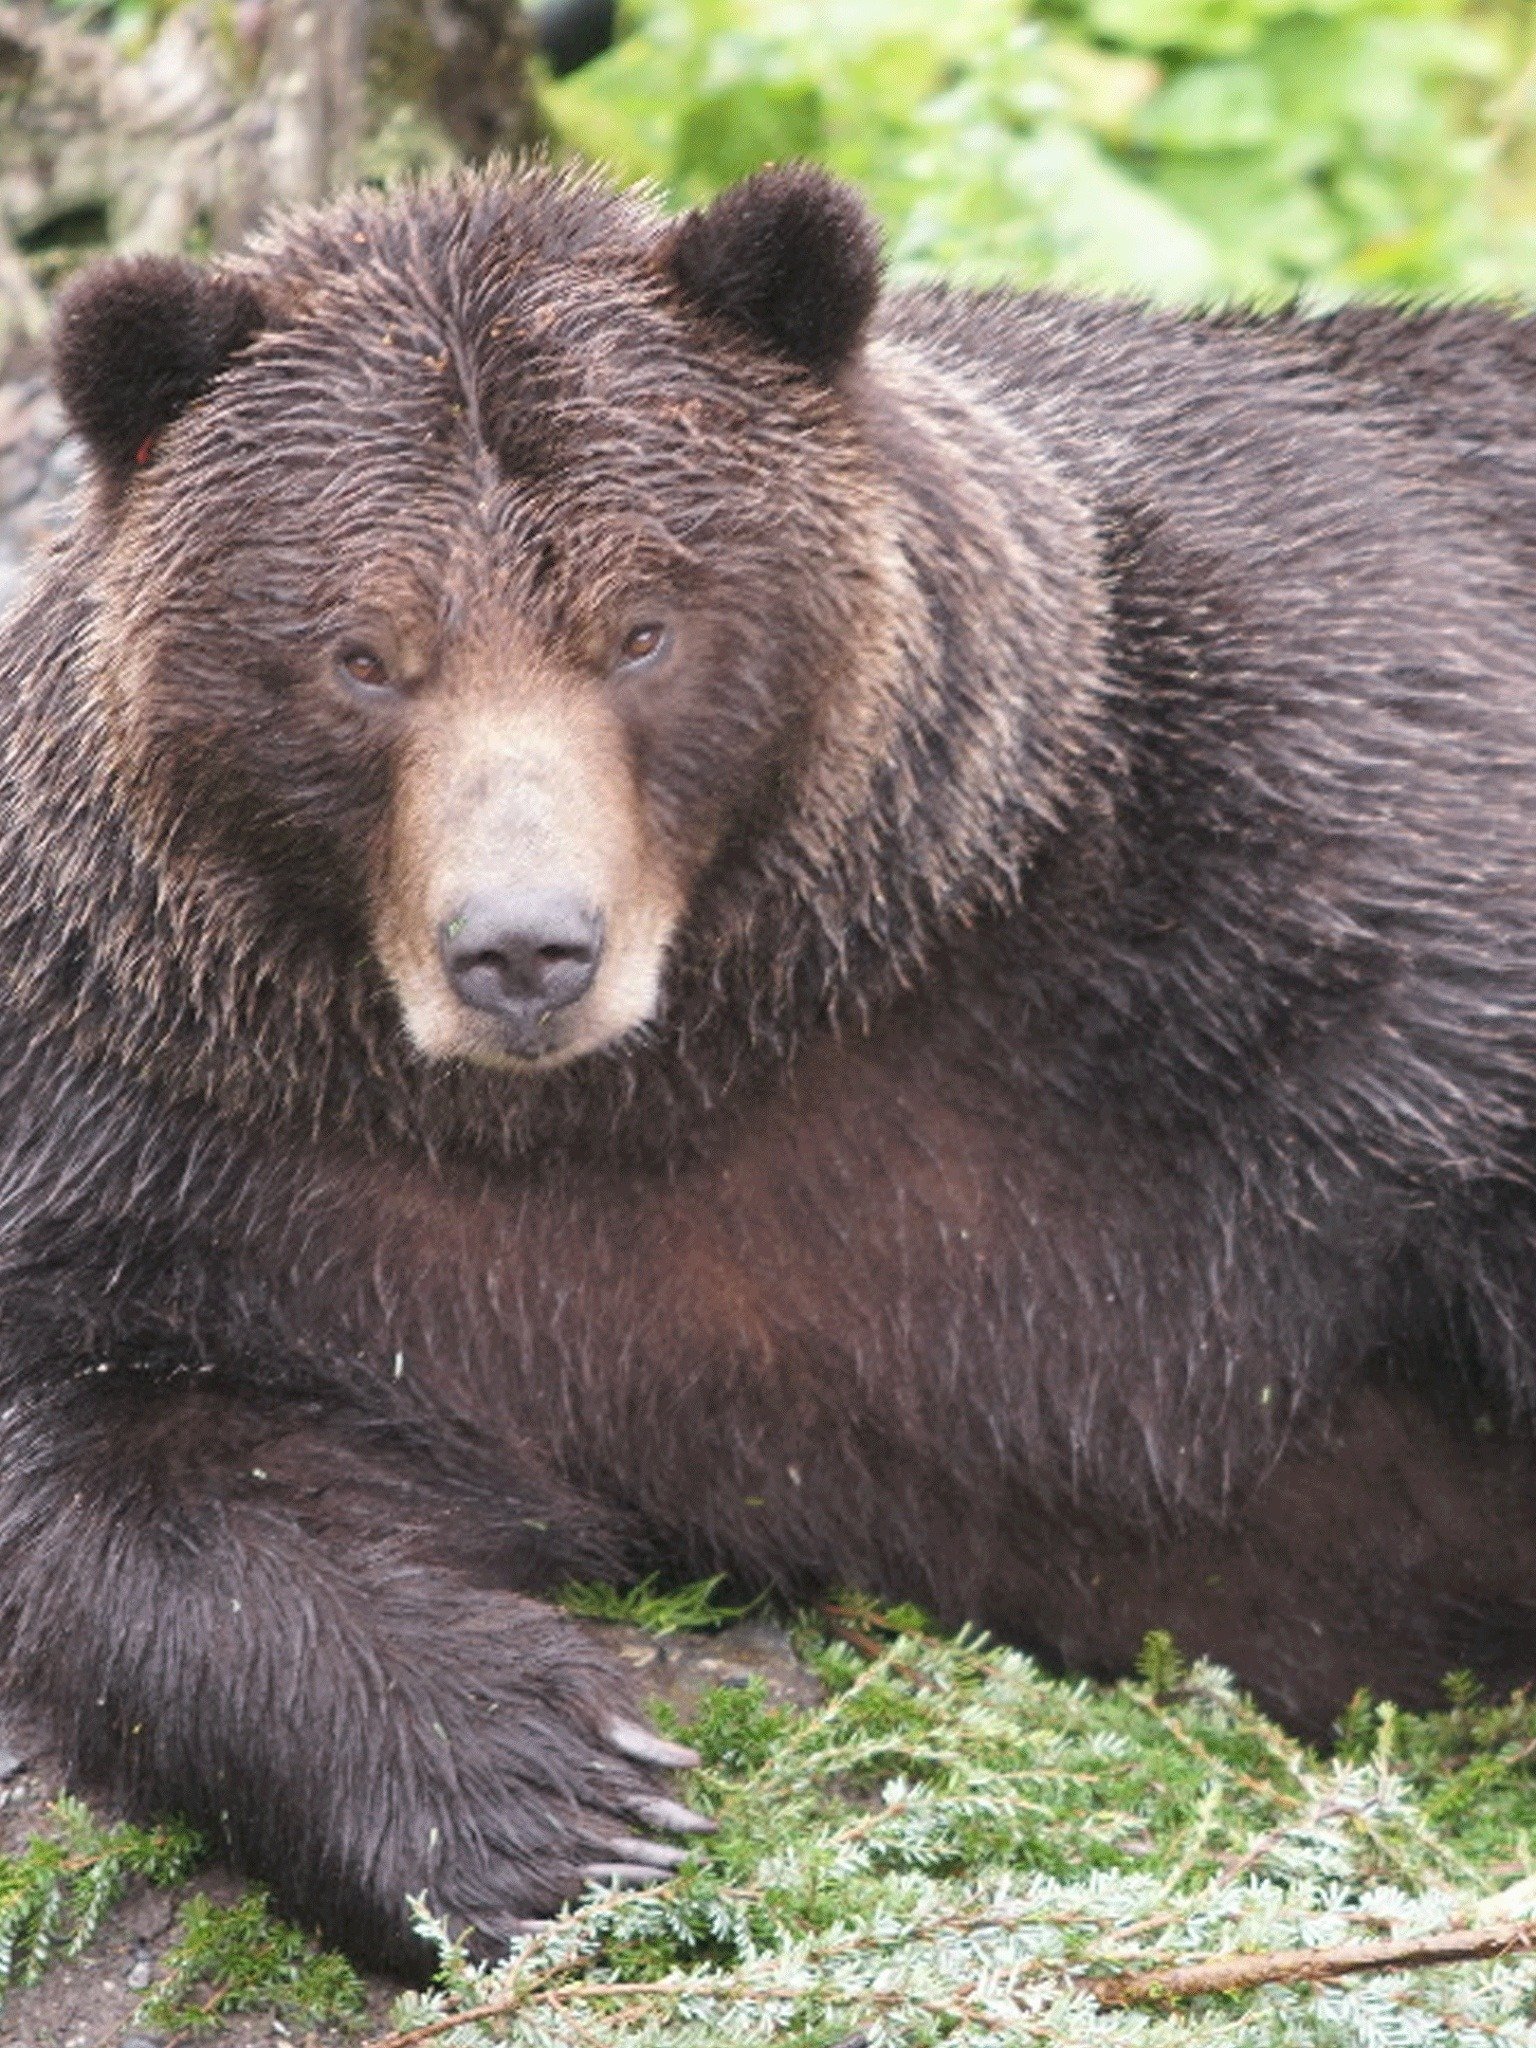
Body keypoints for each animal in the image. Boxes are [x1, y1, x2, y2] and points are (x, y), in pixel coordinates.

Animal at [3, 157, 1536, 1972]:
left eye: (641, 627)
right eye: (360, 653)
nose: (523, 946)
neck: (700, 1061)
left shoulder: (1290, 890)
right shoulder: (219, 1128)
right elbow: (131, 1443)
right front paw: (561, 1797)